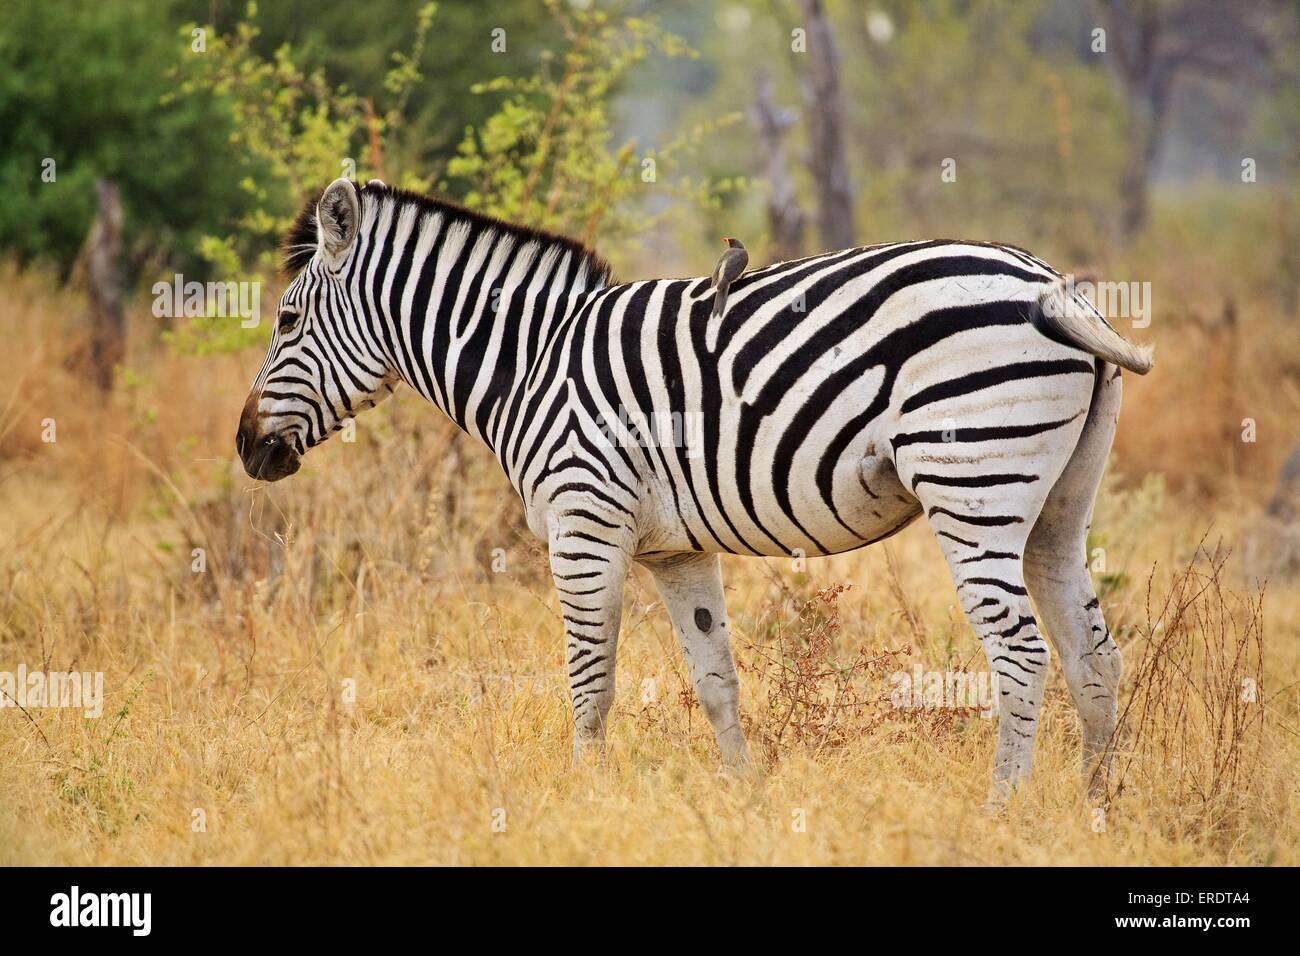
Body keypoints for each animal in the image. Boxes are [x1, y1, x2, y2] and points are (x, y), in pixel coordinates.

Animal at [236, 177, 1153, 796]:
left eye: (286, 320)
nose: (246, 450)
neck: (532, 360)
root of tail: (1048, 285)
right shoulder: (677, 552)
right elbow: (716, 680)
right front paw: (744, 799)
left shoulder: (584, 525)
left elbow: (590, 682)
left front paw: (586, 799)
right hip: (1059, 508)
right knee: (1094, 654)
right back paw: (1091, 808)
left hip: (973, 481)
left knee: (1022, 653)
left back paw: (1004, 810)